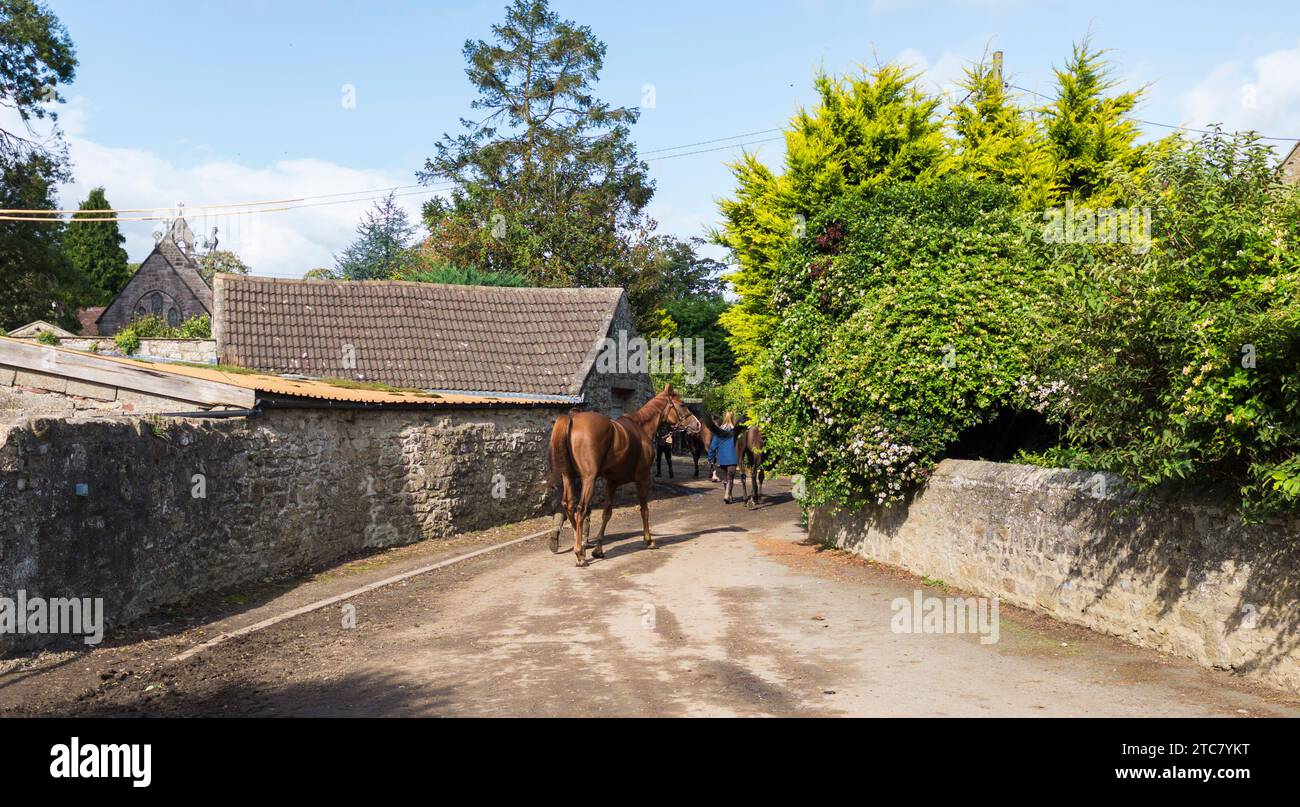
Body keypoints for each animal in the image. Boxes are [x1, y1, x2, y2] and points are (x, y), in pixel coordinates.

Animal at [548, 384, 701, 567]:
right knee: (581, 509)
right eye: (683, 404)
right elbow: (644, 509)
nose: (697, 424)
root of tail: (572, 419)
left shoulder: (612, 482)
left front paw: (598, 549)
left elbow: (607, 513)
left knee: (568, 506)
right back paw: (580, 553)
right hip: (588, 479)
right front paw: (649, 540)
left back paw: (581, 546)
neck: (641, 428)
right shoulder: (643, 478)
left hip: (568, 477)